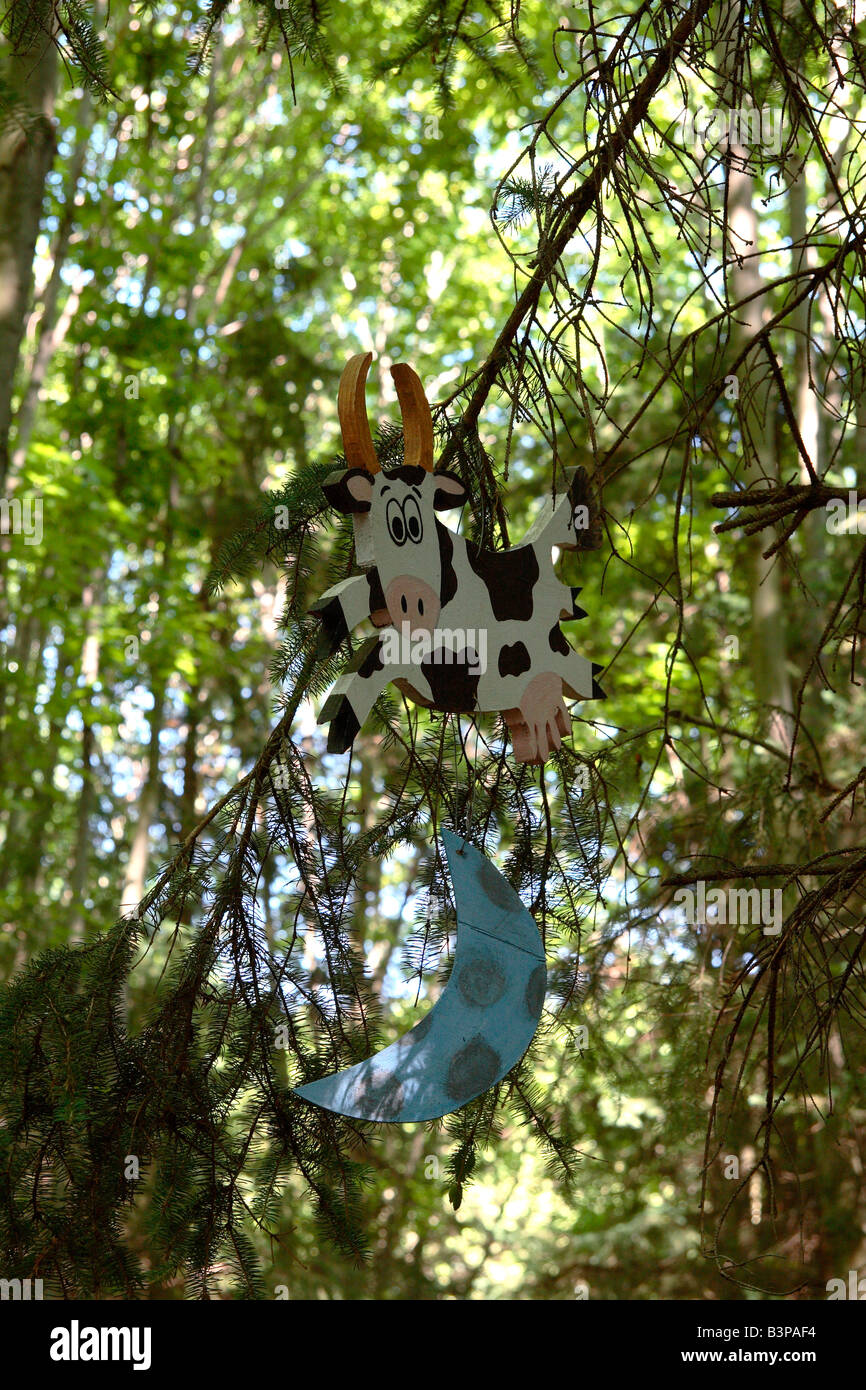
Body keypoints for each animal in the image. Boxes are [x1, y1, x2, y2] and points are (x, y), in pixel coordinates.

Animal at [310, 352, 605, 764]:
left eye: (411, 524)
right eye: (389, 525)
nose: (413, 602)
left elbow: (374, 658)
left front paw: (344, 718)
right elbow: (360, 610)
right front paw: (331, 629)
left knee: (570, 677)